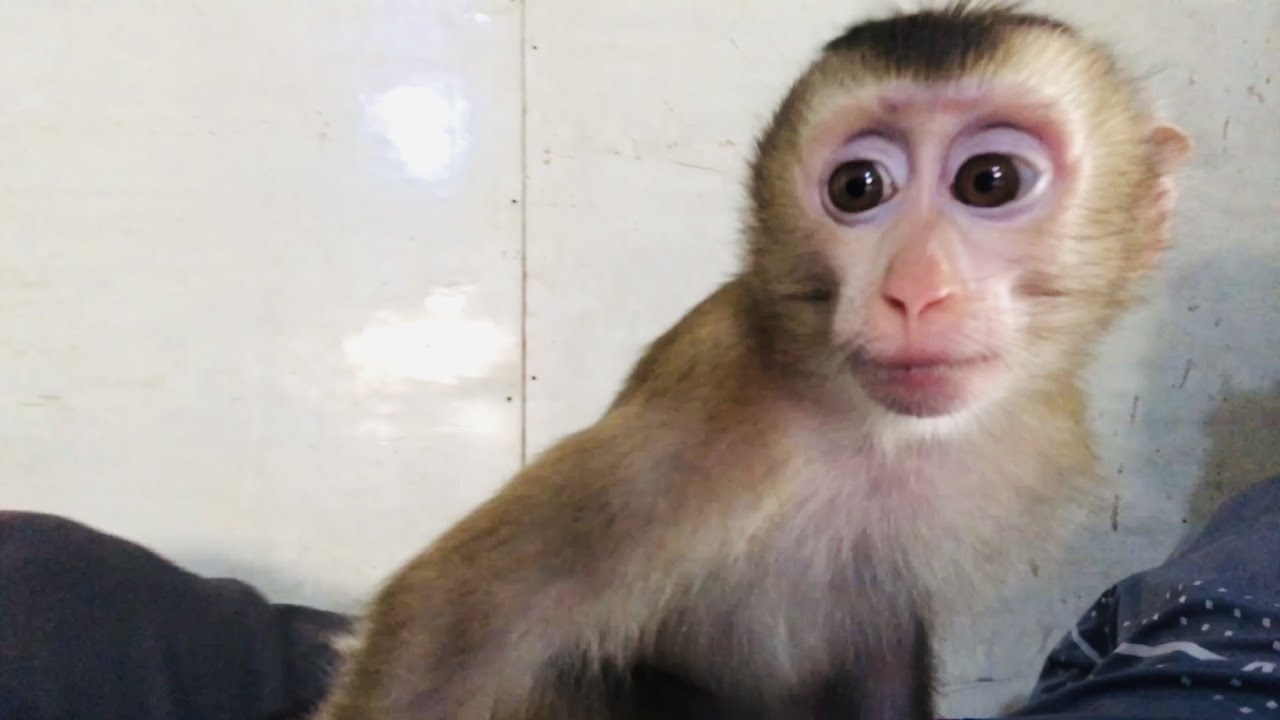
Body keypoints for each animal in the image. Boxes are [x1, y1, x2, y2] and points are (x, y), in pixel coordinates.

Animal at [313, 4, 1191, 719]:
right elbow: (445, 621)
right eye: (858, 186)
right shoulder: (708, 418)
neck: (873, 435)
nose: (914, 292)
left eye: (991, 179)